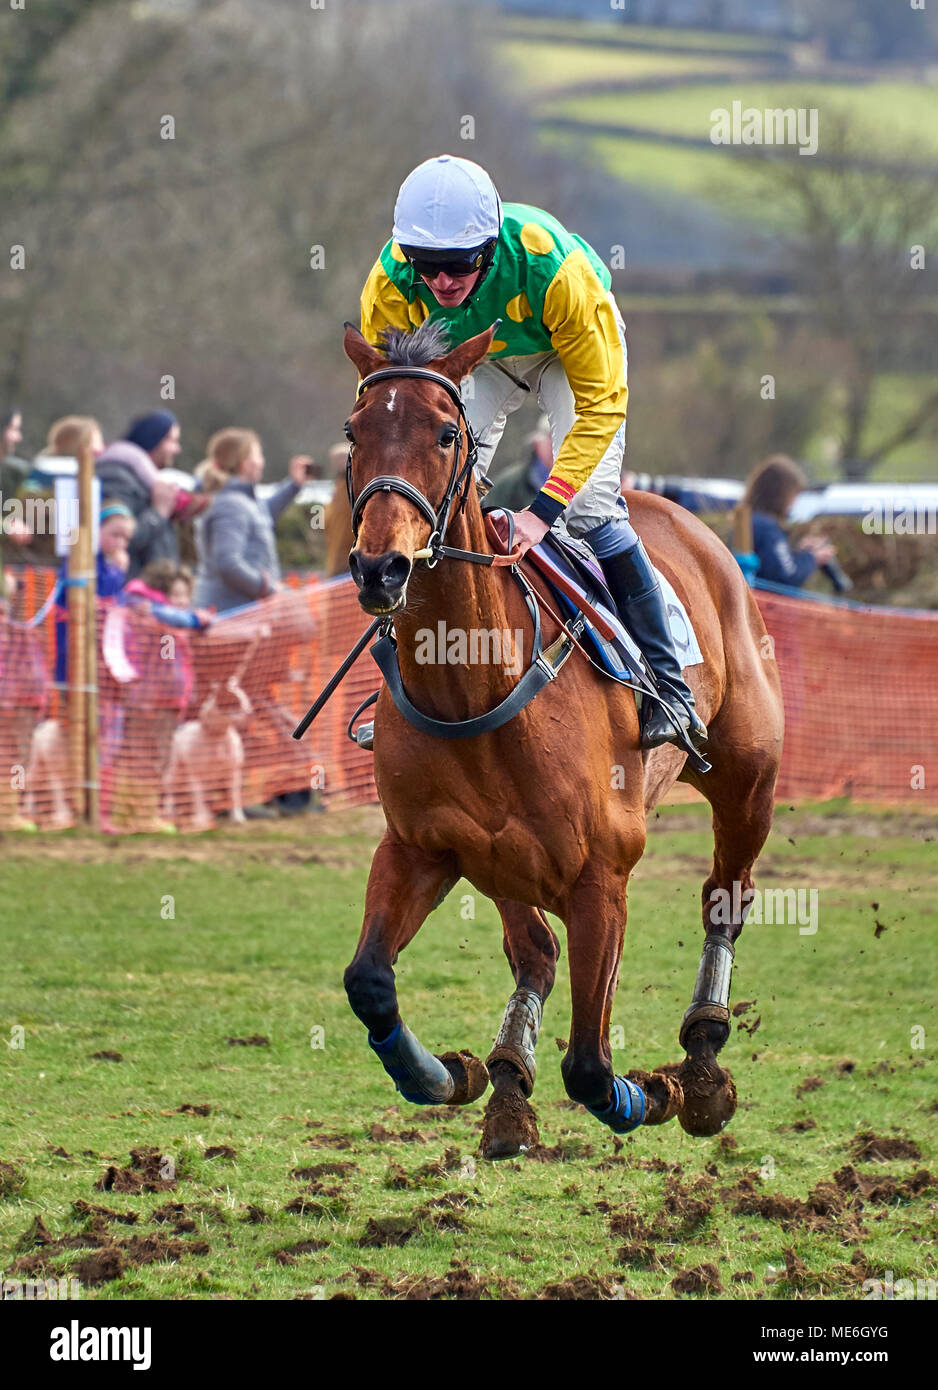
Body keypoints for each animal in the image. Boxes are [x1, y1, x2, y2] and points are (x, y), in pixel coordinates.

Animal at [338, 318, 784, 1158]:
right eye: (353, 432)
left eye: (447, 433)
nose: (381, 566)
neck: (474, 685)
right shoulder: (422, 848)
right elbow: (370, 982)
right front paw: (445, 1075)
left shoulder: (601, 878)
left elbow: (589, 1061)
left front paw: (651, 1092)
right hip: (501, 861)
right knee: (536, 956)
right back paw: (508, 1084)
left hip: (749, 780)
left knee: (725, 899)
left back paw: (702, 1065)